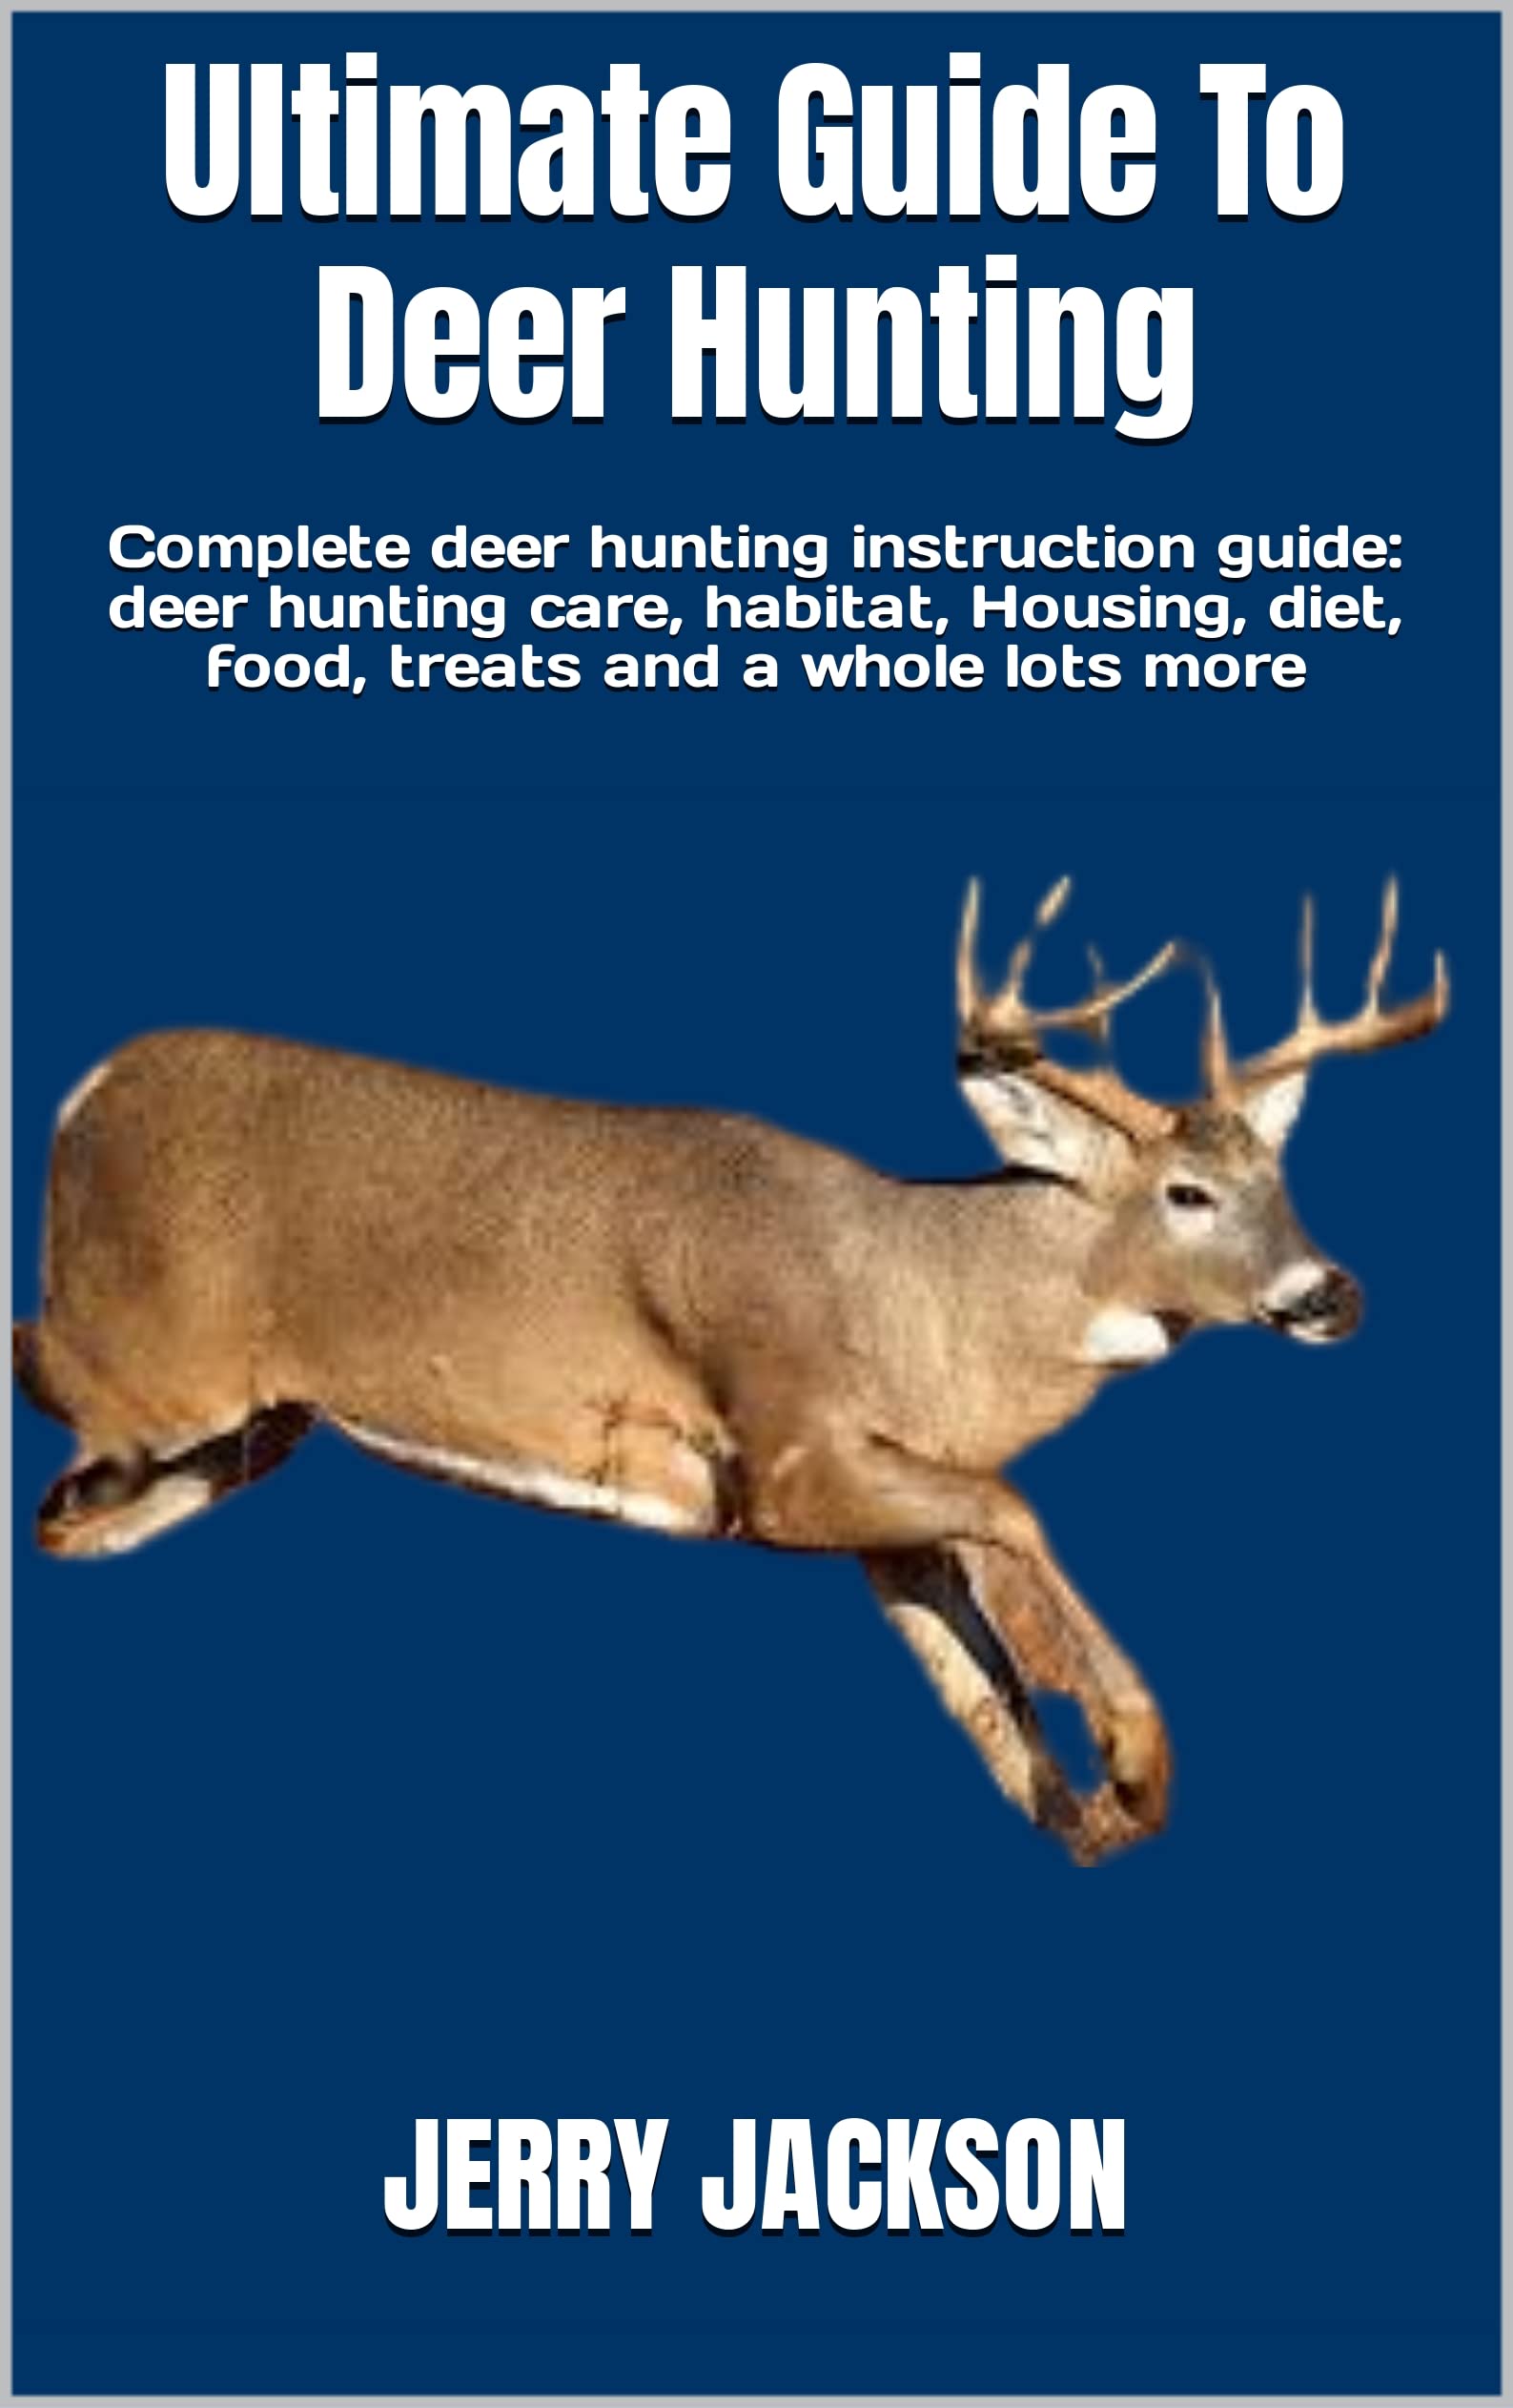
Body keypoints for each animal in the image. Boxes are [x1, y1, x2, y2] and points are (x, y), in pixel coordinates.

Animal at [14, 879, 1447, 1864]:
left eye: (1283, 1179)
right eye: (1187, 1192)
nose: (1330, 1292)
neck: (919, 1302)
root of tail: (85, 1090)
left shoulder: (879, 1520)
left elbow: (976, 1675)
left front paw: (1084, 1799)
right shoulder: (785, 1456)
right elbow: (1012, 1508)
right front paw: (1136, 1758)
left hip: (249, 1429)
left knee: (70, 1515)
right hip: (159, 1360)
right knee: (43, 1368)